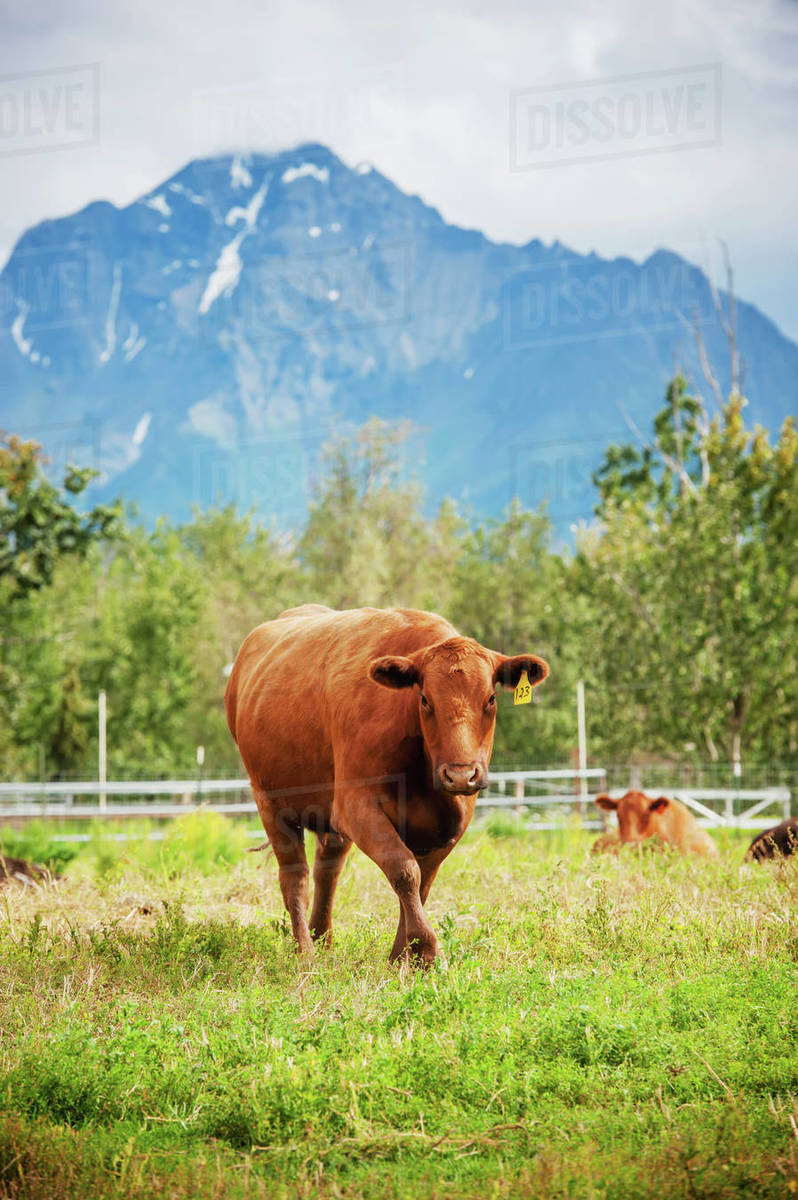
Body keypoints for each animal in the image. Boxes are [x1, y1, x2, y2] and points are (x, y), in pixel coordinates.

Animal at [225, 605, 549, 965]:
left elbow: (421, 884)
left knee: (327, 869)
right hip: (270, 803)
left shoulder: (452, 820)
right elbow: (404, 870)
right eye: (425, 699)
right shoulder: (355, 806)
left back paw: (322, 938)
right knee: (295, 877)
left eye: (491, 699)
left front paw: (403, 955)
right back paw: (306, 951)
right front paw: (427, 951)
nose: (461, 775)